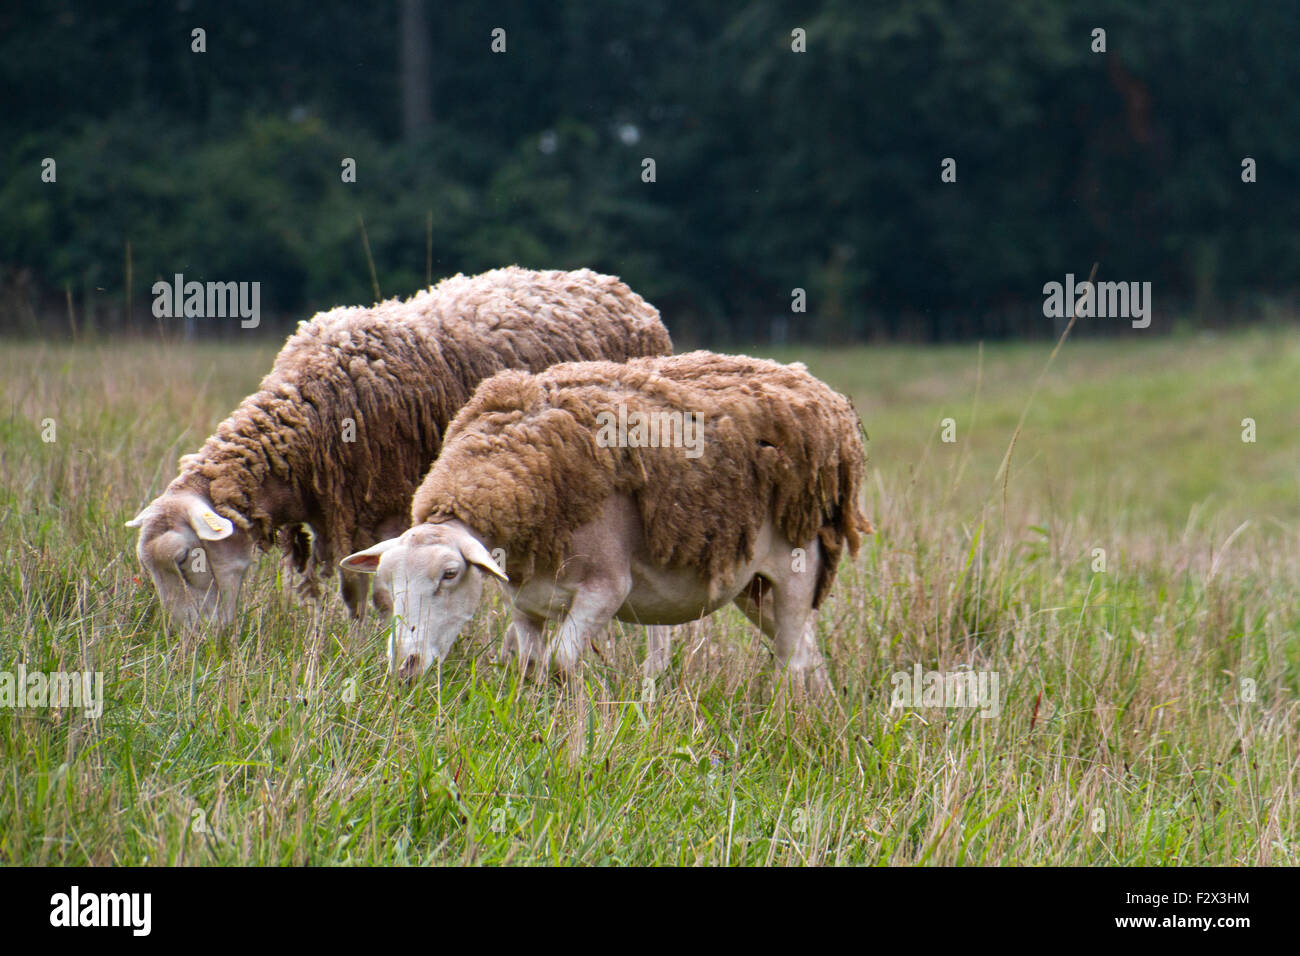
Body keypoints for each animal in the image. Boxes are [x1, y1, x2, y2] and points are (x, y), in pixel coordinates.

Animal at [127, 267, 673, 630]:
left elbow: (389, 592)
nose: (192, 644)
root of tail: (619, 288)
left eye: (187, 561)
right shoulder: (334, 517)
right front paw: (356, 641)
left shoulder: (393, 504)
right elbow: (352, 588)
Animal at [339, 350, 872, 696]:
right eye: (386, 582)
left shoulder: (606, 588)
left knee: (792, 659)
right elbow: (530, 665)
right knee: (806, 652)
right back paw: (819, 709)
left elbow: (561, 661)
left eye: (449, 575)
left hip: (797, 568)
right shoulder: (525, 602)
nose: (405, 667)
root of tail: (819, 394)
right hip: (753, 587)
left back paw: (787, 718)